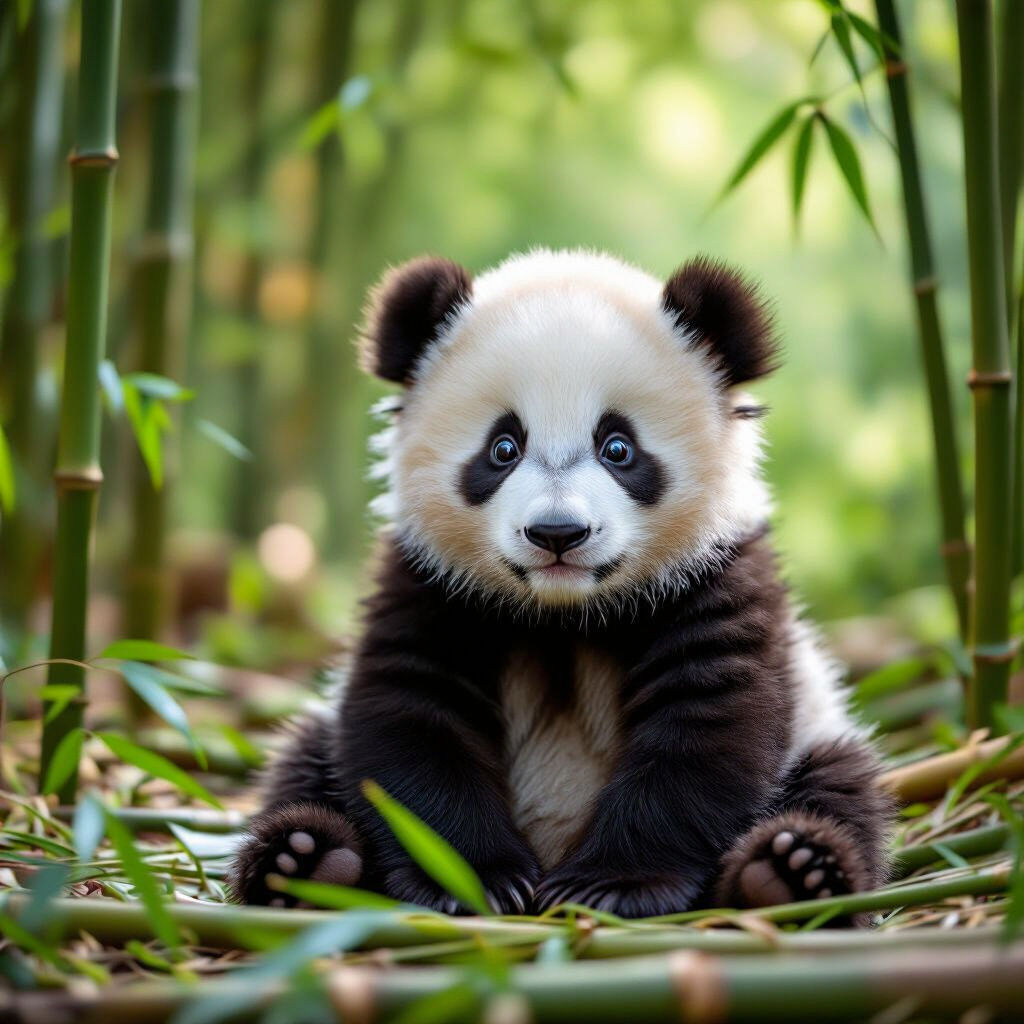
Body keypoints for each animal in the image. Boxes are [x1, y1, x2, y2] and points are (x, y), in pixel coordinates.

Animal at [228, 249, 893, 918]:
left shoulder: (714, 578)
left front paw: (607, 885)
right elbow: (412, 719)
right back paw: (306, 863)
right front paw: (475, 878)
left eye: (618, 447)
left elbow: (706, 720)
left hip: (818, 727)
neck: (564, 613)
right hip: (322, 735)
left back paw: (788, 872)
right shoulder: (431, 585)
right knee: (301, 764)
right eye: (503, 447)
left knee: (840, 784)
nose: (557, 532)